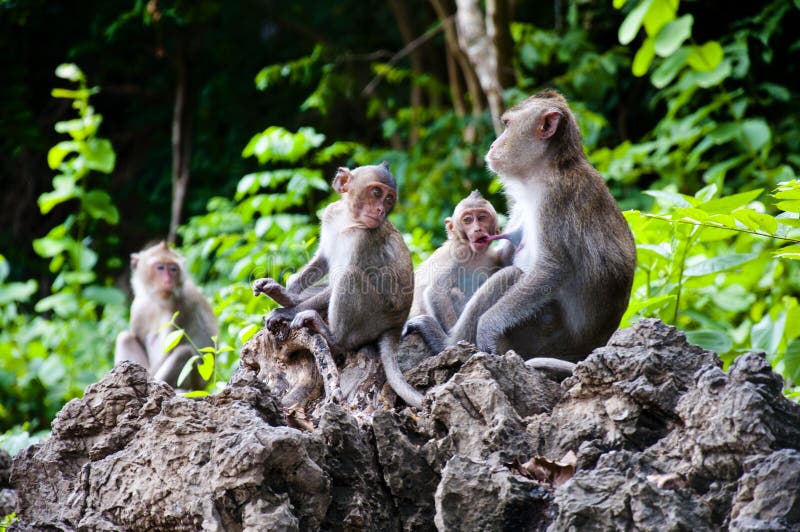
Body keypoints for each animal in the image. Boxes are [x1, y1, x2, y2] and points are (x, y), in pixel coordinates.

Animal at [114, 241, 218, 390]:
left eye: (173, 269)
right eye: (160, 267)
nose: (168, 281)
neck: (158, 302)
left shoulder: (180, 308)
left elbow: (167, 352)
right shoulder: (138, 307)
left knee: (184, 352)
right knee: (125, 338)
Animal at [252, 162, 422, 407]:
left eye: (389, 198)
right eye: (377, 192)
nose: (381, 210)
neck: (348, 219)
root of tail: (397, 325)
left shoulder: (365, 239)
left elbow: (341, 279)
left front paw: (286, 311)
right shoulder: (331, 214)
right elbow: (322, 259)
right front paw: (284, 294)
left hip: (376, 318)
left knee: (349, 277)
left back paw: (333, 337)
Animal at [406, 190, 504, 333]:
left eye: (482, 218)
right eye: (467, 220)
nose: (477, 229)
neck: (474, 254)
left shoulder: (493, 257)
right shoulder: (458, 252)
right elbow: (436, 292)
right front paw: (450, 334)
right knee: (454, 292)